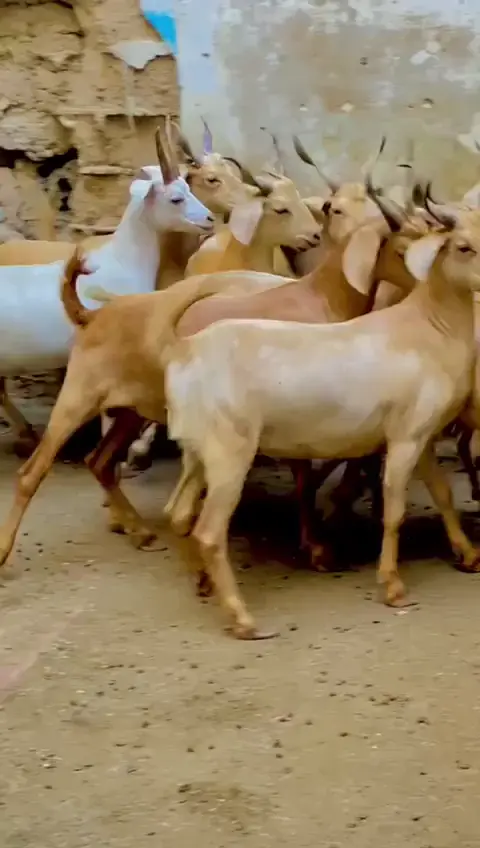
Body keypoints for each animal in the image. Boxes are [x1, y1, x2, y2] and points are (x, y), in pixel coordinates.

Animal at [162, 202, 480, 639]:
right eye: (464, 247)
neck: (429, 327)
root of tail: (183, 351)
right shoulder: (405, 437)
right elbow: (394, 511)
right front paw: (392, 586)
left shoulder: (423, 435)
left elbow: (444, 494)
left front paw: (468, 553)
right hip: (230, 453)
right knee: (209, 531)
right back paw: (243, 619)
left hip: (198, 451)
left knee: (178, 512)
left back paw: (204, 583)